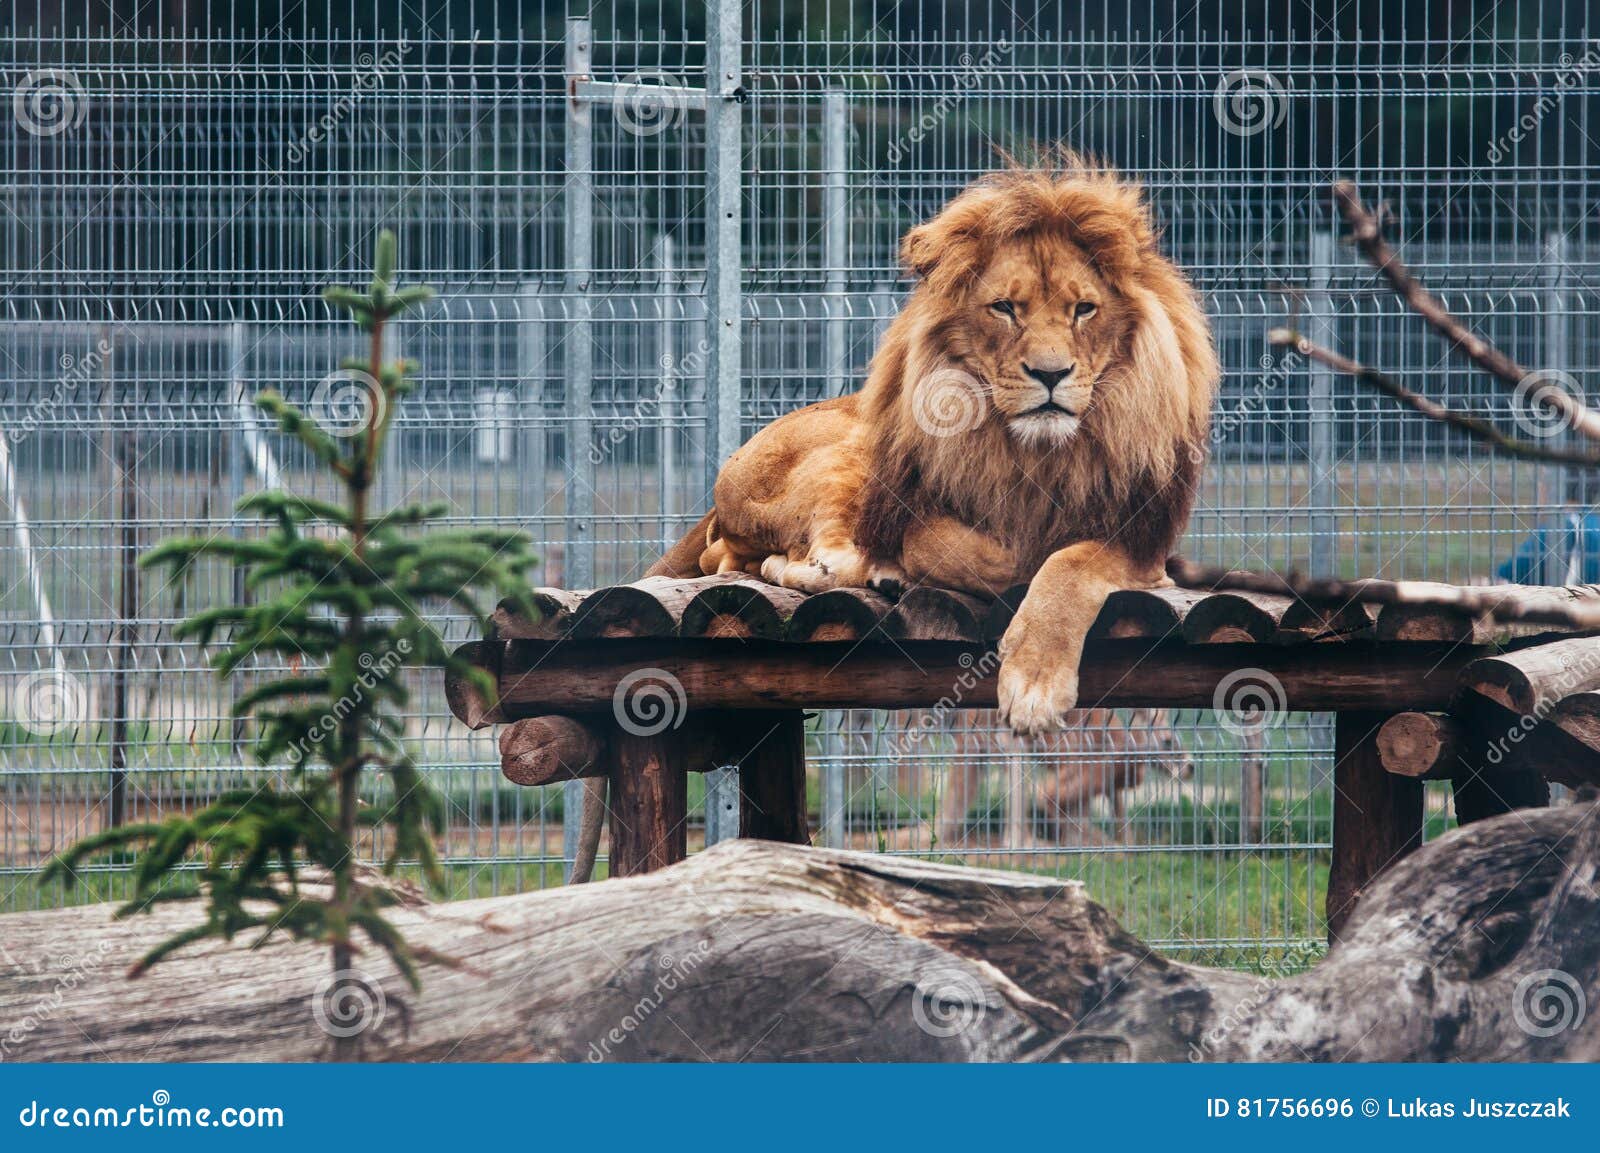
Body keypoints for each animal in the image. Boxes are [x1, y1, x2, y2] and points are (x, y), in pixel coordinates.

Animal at [569, 159, 1217, 882]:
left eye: (1084, 309)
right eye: (1006, 308)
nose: (1050, 374)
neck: (1036, 455)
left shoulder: (1142, 547)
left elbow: (1067, 563)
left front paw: (1034, 677)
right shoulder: (918, 506)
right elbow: (979, 551)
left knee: (733, 558)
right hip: (850, 450)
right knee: (754, 555)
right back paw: (848, 570)